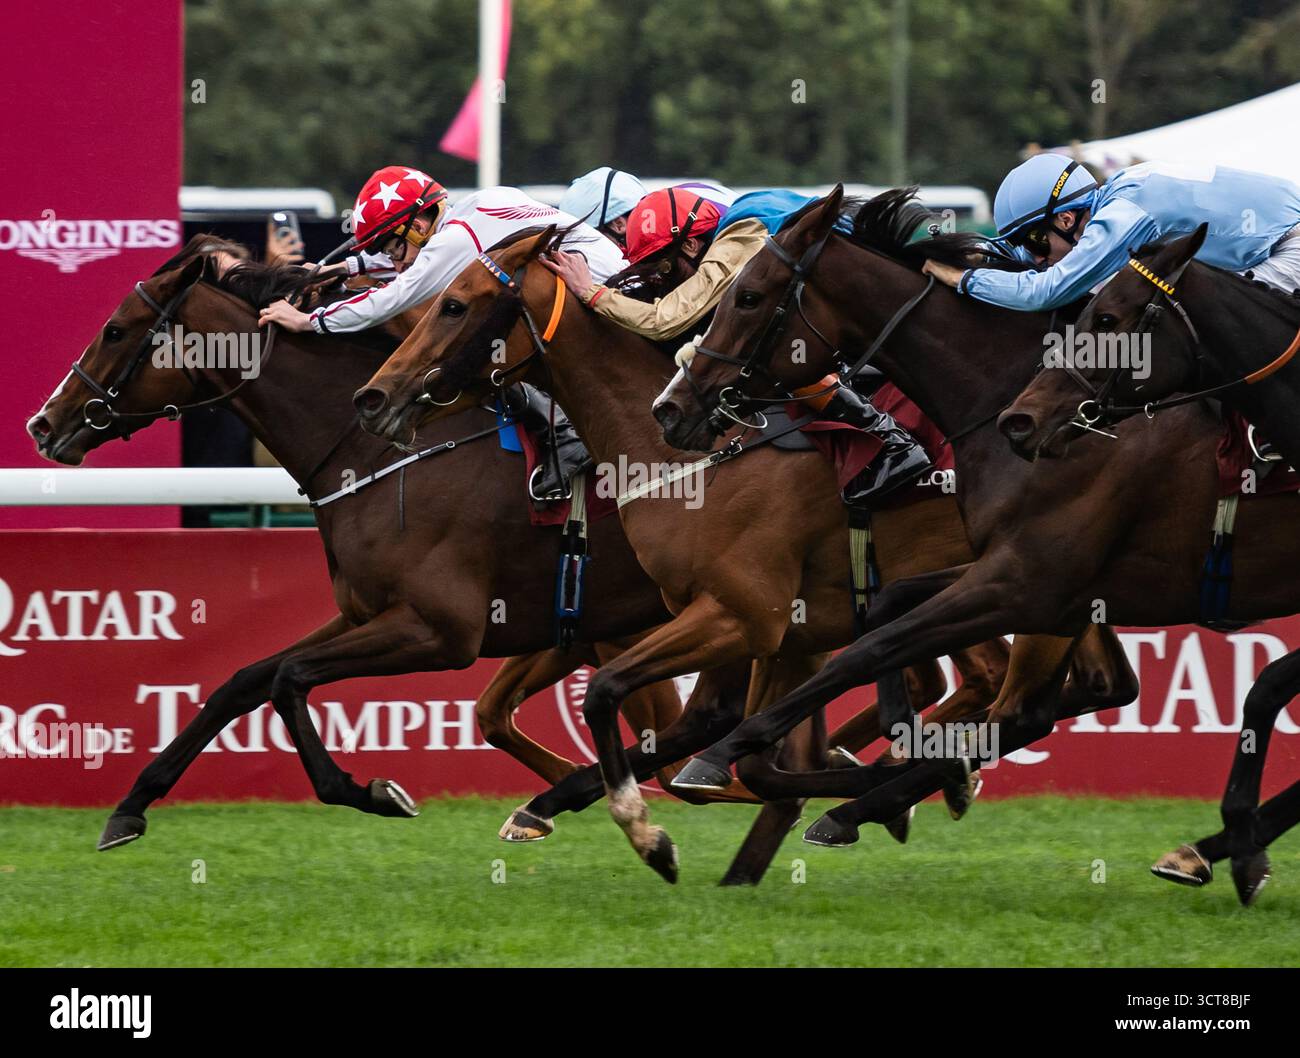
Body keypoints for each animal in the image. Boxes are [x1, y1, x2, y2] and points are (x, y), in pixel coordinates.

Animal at [352, 224, 1132, 883]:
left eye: (454, 304)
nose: (377, 396)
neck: (681, 454)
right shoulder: (753, 627)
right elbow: (725, 741)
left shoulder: (744, 616)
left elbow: (621, 701)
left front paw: (648, 834)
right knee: (1087, 687)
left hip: (1020, 586)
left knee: (1021, 700)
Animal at [655, 188, 1300, 904]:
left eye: (747, 295)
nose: (673, 408)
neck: (1008, 400)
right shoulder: (1032, 583)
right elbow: (893, 618)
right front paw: (899, 755)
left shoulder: (1029, 581)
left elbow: (872, 651)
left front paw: (731, 754)